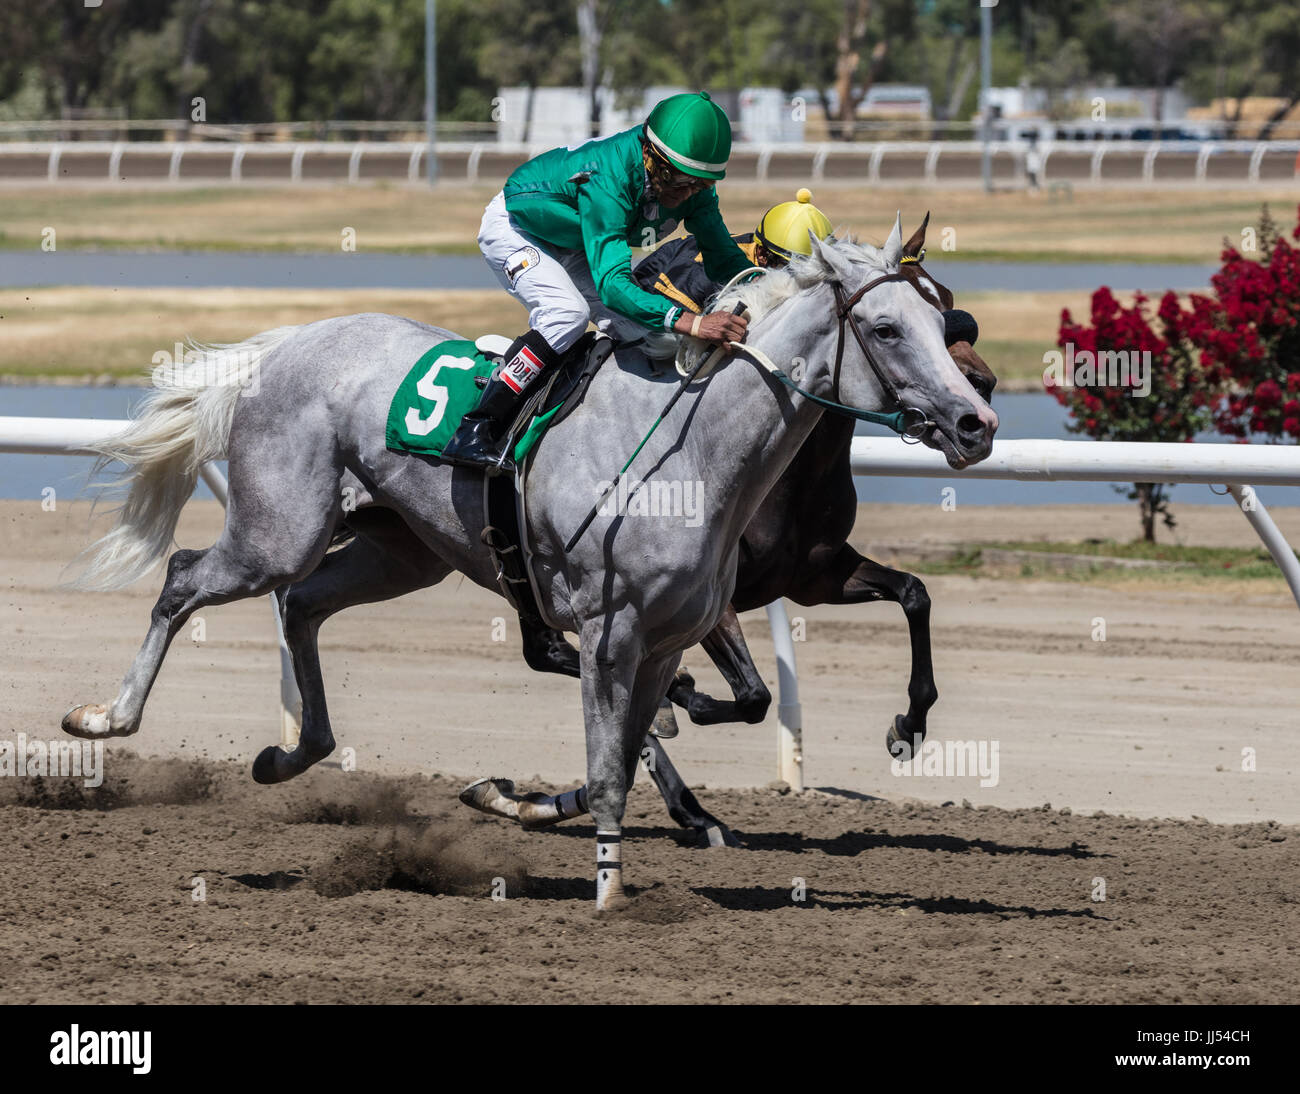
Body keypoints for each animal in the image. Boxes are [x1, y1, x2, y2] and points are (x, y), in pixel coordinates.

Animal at [62, 219, 997, 909]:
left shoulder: (668, 638)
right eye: (886, 328)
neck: (693, 454)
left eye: (945, 316)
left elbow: (625, 752)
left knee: (304, 605)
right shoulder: (611, 632)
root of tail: (292, 340)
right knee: (188, 577)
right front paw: (610, 893)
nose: (977, 420)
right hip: (277, 531)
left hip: (401, 551)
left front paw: (516, 798)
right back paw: (105, 719)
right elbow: (616, 762)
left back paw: (292, 754)